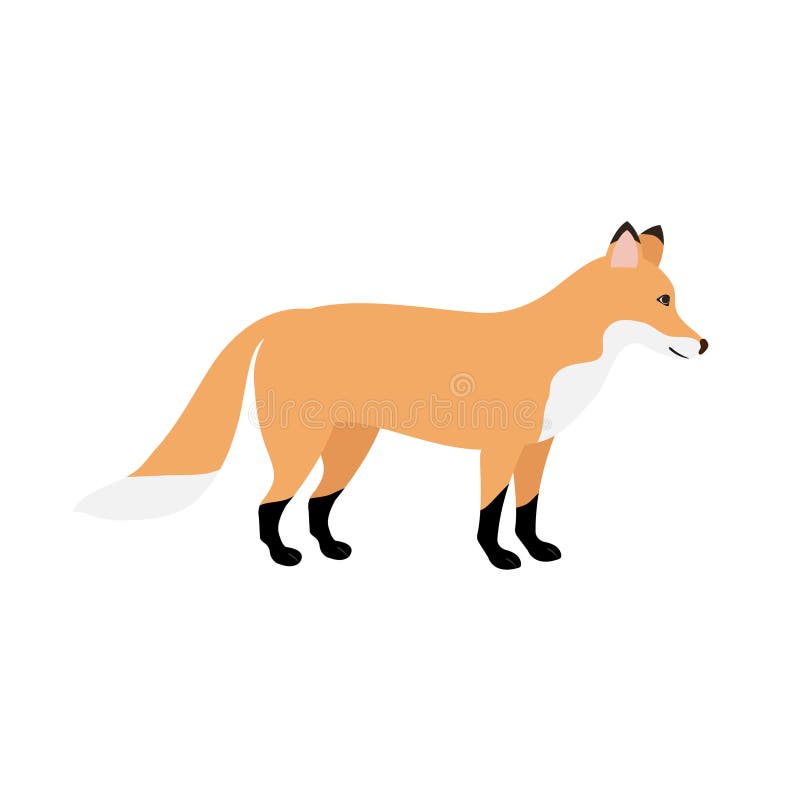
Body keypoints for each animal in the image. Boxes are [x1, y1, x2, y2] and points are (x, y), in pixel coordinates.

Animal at [77, 222, 707, 569]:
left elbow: (527, 511)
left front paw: (535, 550)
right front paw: (500, 560)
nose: (703, 344)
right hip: (301, 446)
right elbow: (490, 515)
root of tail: (286, 316)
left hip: (350, 447)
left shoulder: (539, 448)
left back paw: (331, 550)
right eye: (662, 301)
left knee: (318, 503)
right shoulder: (500, 449)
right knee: (268, 505)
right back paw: (283, 556)